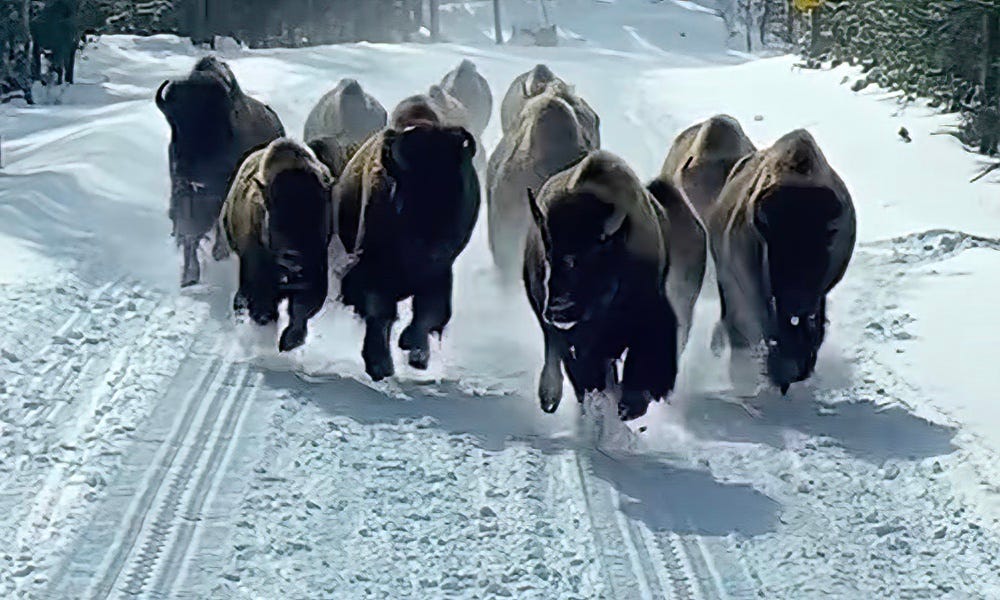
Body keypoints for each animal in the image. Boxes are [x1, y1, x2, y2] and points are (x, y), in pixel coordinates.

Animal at [156, 56, 285, 287]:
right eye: (174, 122)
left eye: (220, 121)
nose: (191, 170)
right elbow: (189, 231)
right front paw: (189, 277)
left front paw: (218, 253)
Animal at [222, 138, 334, 352]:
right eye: (271, 210)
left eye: (319, 212)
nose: (294, 258)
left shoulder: (314, 275)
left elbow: (301, 309)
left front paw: (289, 342)